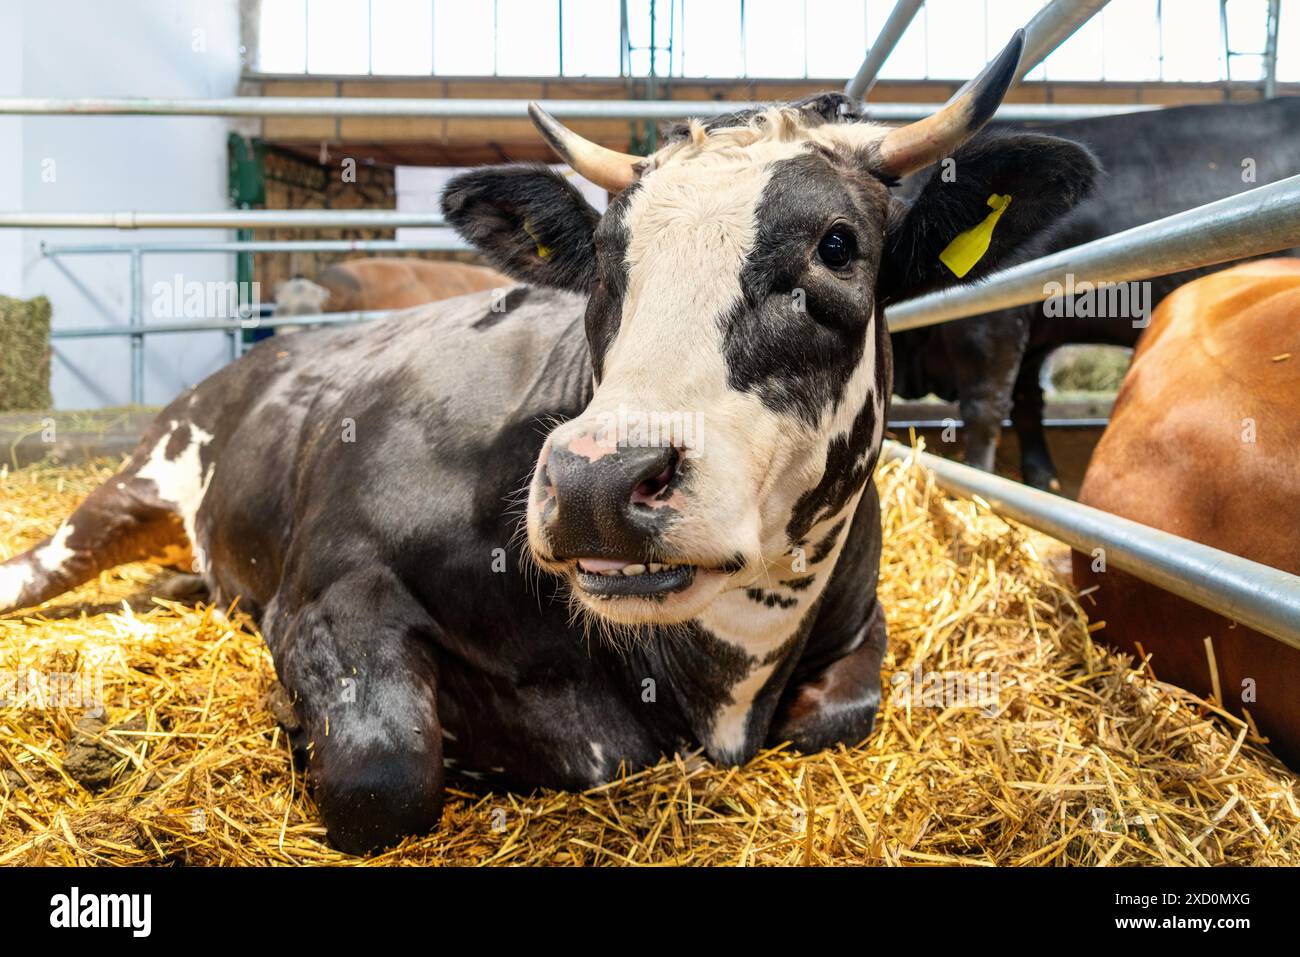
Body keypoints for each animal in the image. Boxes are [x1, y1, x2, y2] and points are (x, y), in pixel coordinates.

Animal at [0, 34, 1100, 854]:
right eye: (606, 261)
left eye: (837, 246)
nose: (599, 480)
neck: (710, 674)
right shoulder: (330, 583)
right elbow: (384, 776)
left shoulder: (856, 625)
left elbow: (839, 713)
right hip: (139, 481)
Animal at [891, 96, 1300, 491]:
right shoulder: (1031, 333)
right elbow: (1027, 403)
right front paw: (1043, 479)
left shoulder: (988, 323)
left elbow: (984, 408)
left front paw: (980, 477)